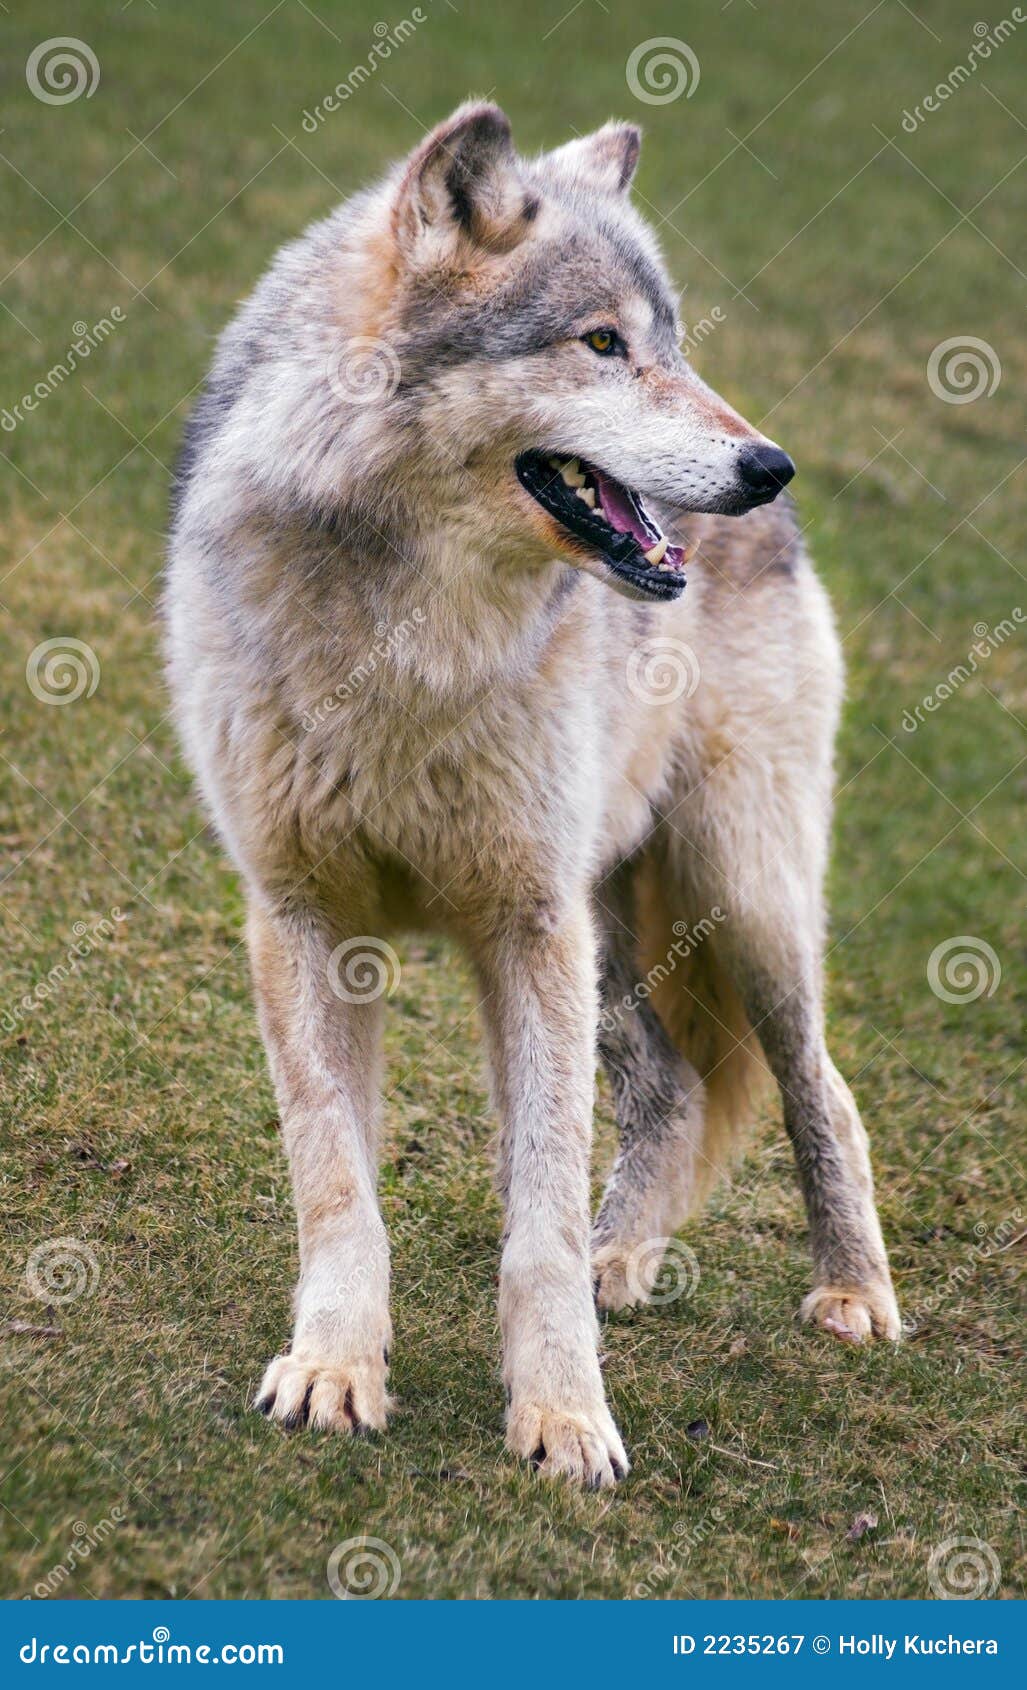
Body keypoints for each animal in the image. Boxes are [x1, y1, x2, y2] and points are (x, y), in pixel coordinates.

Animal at [165, 102, 900, 1489]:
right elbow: (335, 1180)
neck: (412, 641)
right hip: (613, 931)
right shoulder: (300, 921)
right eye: (602, 345)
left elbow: (540, 1209)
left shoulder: (526, 927)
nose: (767, 464)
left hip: (737, 901)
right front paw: (335, 1369)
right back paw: (628, 1259)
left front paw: (564, 1415)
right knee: (673, 1090)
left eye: (671, 344)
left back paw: (852, 1296)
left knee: (816, 1088)